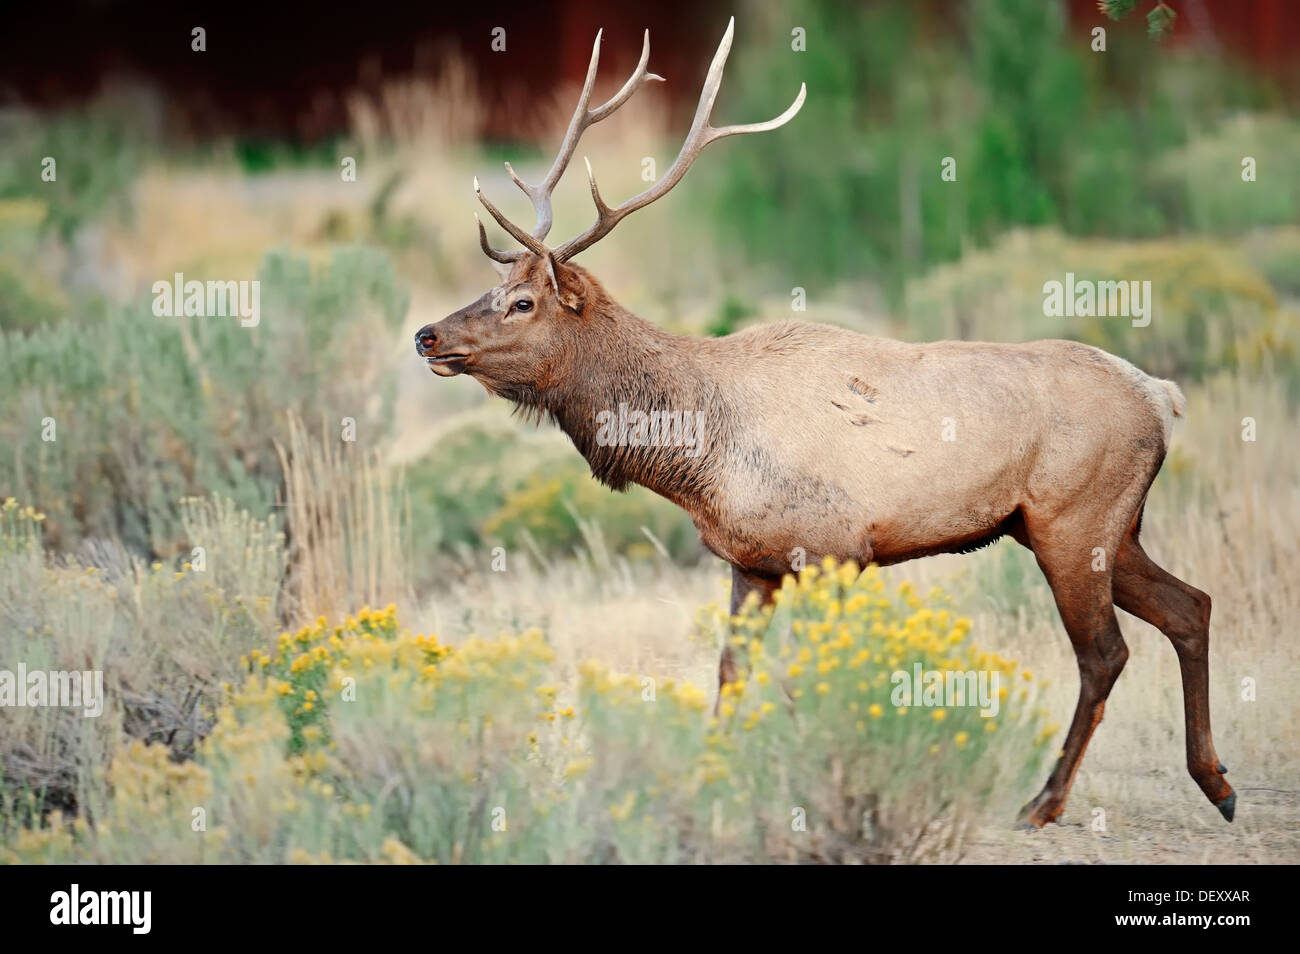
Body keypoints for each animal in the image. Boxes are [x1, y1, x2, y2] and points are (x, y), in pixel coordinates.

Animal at [414, 18, 1235, 829]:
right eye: (492, 289)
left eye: (523, 302)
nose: (426, 335)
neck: (700, 455)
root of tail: (1163, 395)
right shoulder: (751, 563)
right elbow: (730, 675)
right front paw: (711, 785)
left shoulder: (835, 550)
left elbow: (808, 681)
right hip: (1096, 528)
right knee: (1190, 605)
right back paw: (1216, 782)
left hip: (1074, 521)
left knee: (1105, 653)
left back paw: (1044, 802)